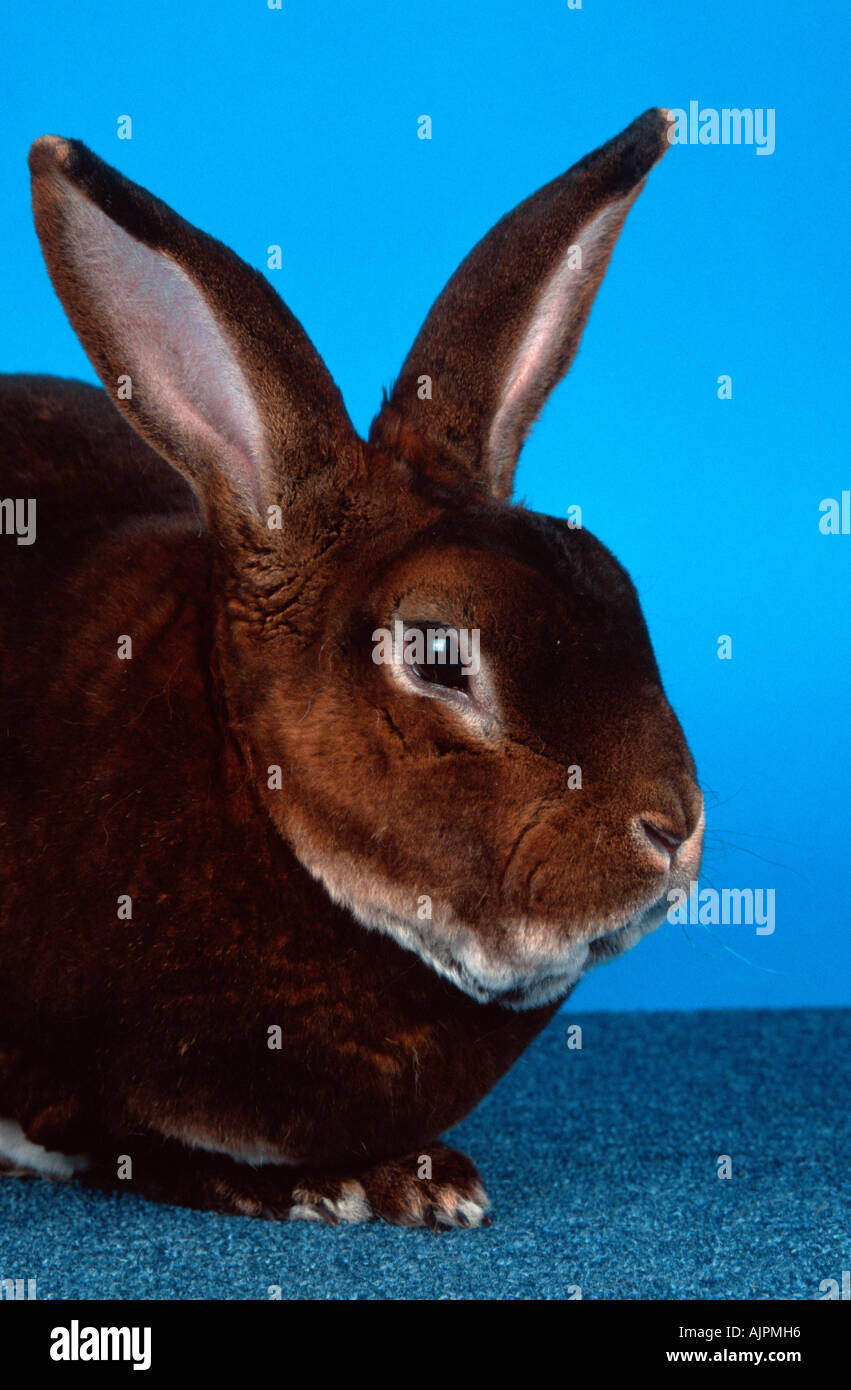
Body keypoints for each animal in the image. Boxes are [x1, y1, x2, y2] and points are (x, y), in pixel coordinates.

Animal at [0, 107, 704, 1227]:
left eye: (618, 586)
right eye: (434, 653)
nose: (675, 829)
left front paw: (427, 1176)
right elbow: (114, 1135)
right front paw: (338, 1184)